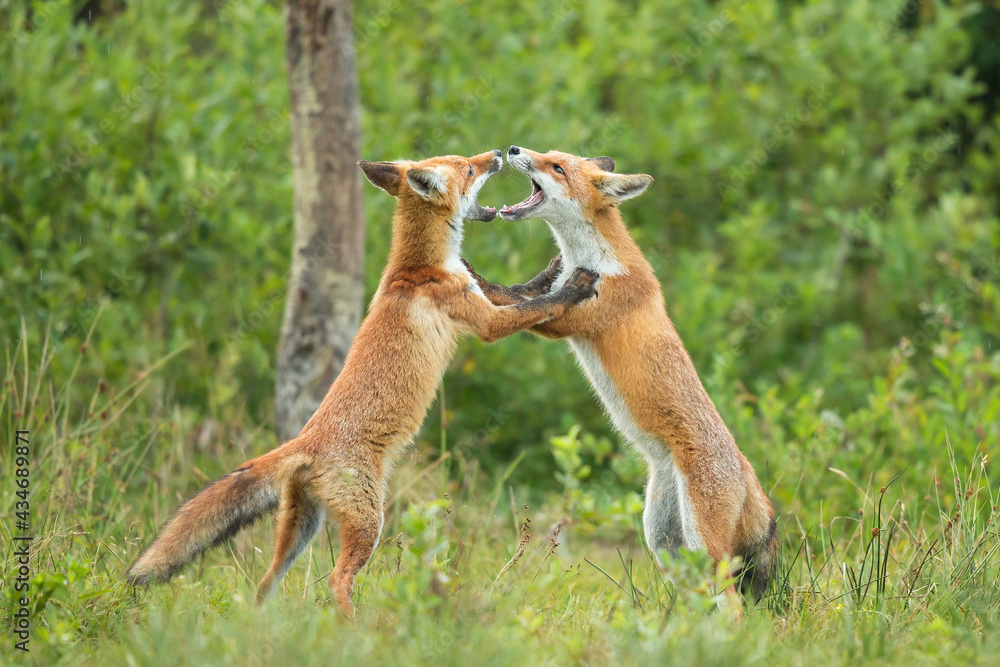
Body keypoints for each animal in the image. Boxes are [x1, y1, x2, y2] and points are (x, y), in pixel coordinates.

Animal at [125, 149, 598, 617]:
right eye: (468, 167)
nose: (499, 153)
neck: (418, 265)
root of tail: (305, 442)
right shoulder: (483, 321)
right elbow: (536, 307)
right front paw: (573, 286)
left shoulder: (480, 295)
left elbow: (519, 291)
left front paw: (552, 271)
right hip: (369, 519)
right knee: (337, 579)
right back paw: (353, 628)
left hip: (303, 526)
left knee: (266, 581)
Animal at [464, 146, 778, 611]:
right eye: (547, 154)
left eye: (557, 167)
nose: (515, 149)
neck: (594, 257)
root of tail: (744, 467)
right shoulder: (551, 294)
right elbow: (520, 293)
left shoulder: (571, 320)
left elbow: (522, 303)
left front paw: (471, 275)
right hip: (664, 538)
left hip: (703, 543)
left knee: (732, 604)